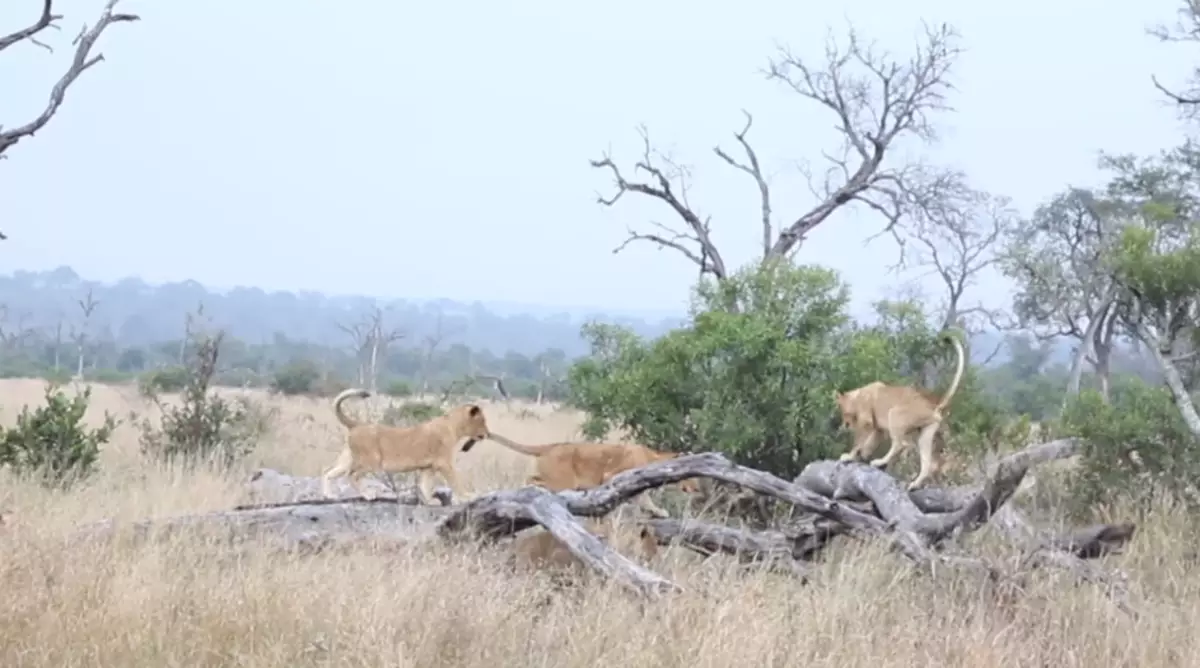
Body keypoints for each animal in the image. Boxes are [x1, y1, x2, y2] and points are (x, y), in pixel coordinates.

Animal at [321, 388, 489, 503]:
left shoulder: (428, 467)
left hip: (347, 459)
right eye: (483, 421)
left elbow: (425, 484)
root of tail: (356, 424)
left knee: (329, 472)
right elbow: (455, 480)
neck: (453, 425)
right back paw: (368, 495)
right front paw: (467, 497)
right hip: (372, 460)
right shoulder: (444, 463)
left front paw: (430, 501)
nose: (487, 433)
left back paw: (329, 495)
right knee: (352, 475)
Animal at [475, 434, 700, 518]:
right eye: (692, 475)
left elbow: (638, 499)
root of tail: (551, 446)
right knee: (534, 481)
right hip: (563, 481)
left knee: (531, 478)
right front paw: (659, 511)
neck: (655, 457)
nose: (696, 489)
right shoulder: (614, 475)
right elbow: (642, 498)